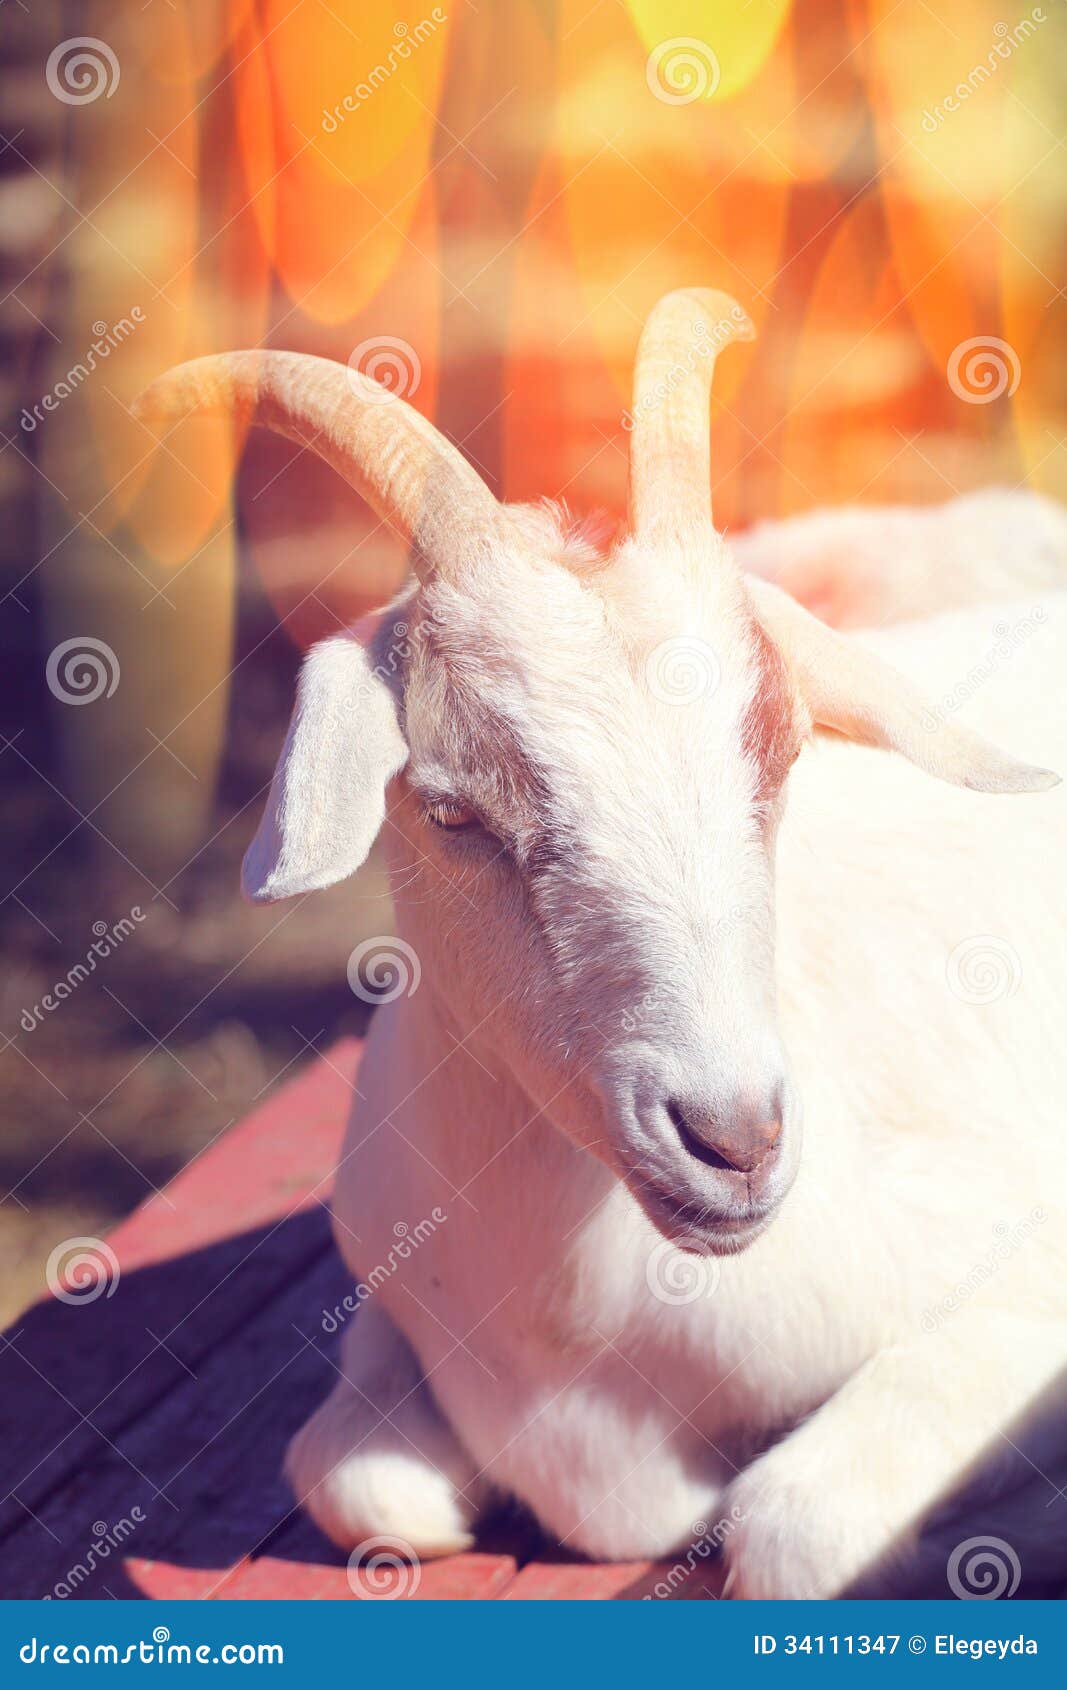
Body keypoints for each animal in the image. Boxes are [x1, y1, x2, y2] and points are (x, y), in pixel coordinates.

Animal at [135, 289, 1067, 1598]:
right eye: (450, 811)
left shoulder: (1019, 1287)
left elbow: (787, 1527)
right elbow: (355, 1482)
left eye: (781, 758)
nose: (731, 1139)